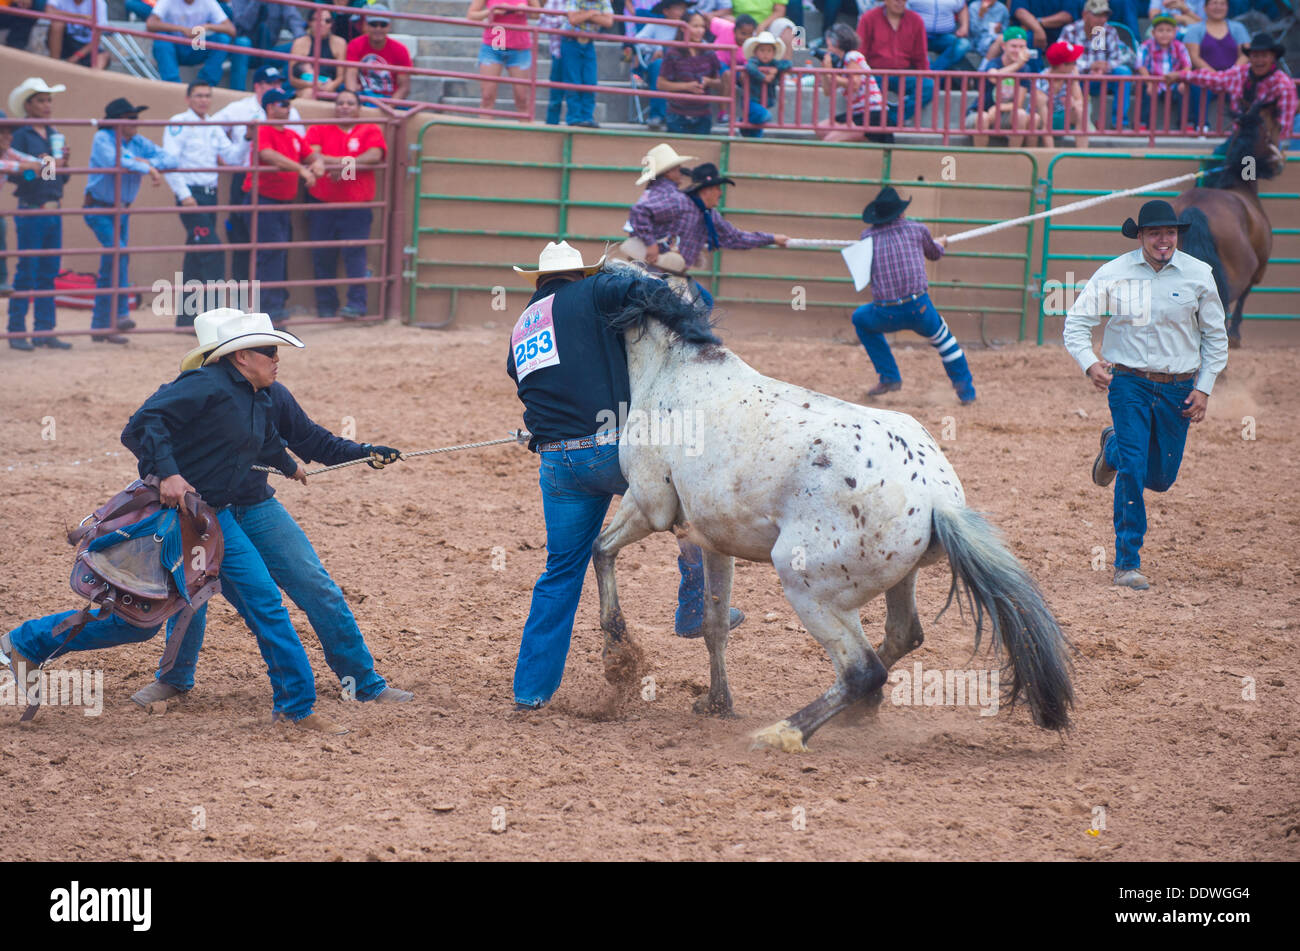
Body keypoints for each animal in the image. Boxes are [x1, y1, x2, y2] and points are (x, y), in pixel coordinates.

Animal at [590, 267, 1074, 752]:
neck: (678, 369)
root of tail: (937, 498)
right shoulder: (712, 540)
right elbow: (714, 624)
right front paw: (716, 703)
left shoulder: (648, 505)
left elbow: (602, 549)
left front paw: (617, 654)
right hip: (897, 580)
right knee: (902, 636)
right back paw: (857, 712)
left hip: (809, 588)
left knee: (862, 671)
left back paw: (781, 733)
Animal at [1174, 99, 1285, 349]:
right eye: (1274, 128)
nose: (1278, 166)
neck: (1236, 184)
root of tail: (1195, 210)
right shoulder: (1259, 268)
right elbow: (1244, 297)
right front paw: (1235, 335)